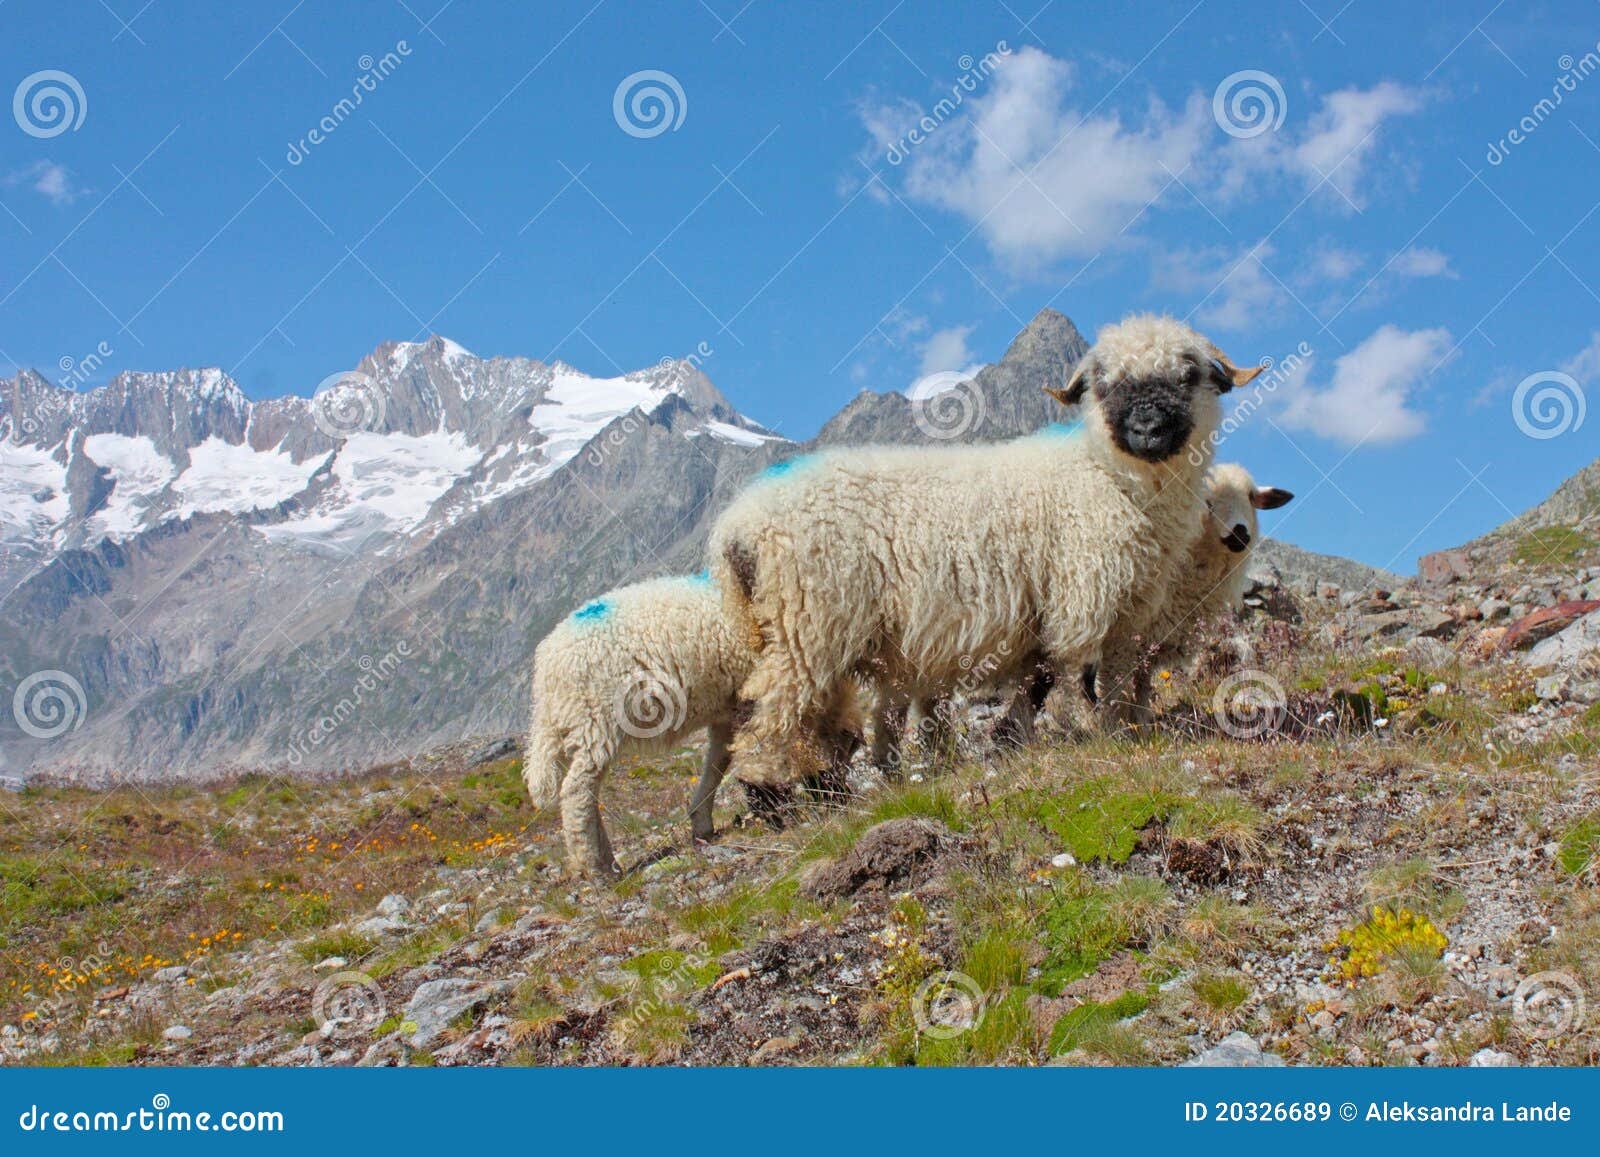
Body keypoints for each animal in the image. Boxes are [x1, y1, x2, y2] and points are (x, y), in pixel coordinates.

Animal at [525, 573, 863, 878]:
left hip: (584, 725)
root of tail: (546, 668)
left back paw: (606, 861)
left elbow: (719, 761)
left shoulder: (729, 711)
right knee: (575, 792)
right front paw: (776, 810)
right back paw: (597, 869)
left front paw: (702, 822)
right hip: (596, 722)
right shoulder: (755, 696)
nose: (844, 801)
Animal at [710, 315, 1263, 790]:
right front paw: (1108, 736)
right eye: (1105, 383)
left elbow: (1070, 681)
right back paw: (771, 788)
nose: (1147, 430)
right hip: (808, 623)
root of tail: (734, 526)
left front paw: (1106, 732)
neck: (1107, 477)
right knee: (769, 708)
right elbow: (1083, 679)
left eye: (1188, 375)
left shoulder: (1103, 615)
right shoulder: (1081, 600)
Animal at [1087, 462, 1293, 723]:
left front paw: (1141, 724)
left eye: (1250, 497)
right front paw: (1110, 725)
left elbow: (1142, 684)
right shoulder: (1120, 638)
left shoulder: (1156, 638)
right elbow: (1112, 685)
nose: (1239, 534)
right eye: (1207, 502)